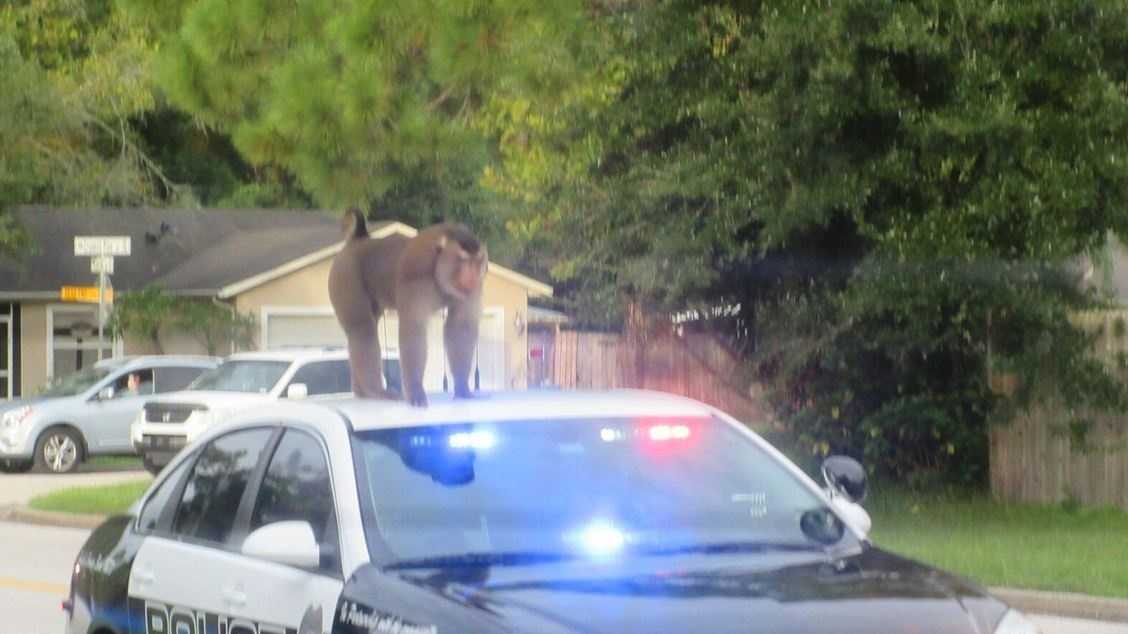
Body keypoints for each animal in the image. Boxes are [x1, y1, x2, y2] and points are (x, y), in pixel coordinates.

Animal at [328, 208, 488, 407]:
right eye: (463, 260)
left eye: (477, 261)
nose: (472, 275)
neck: (438, 271)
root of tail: (357, 241)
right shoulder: (415, 274)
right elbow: (414, 328)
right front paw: (415, 390)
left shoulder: (475, 287)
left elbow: (461, 326)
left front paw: (462, 386)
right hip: (345, 277)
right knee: (362, 329)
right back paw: (375, 391)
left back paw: (362, 392)